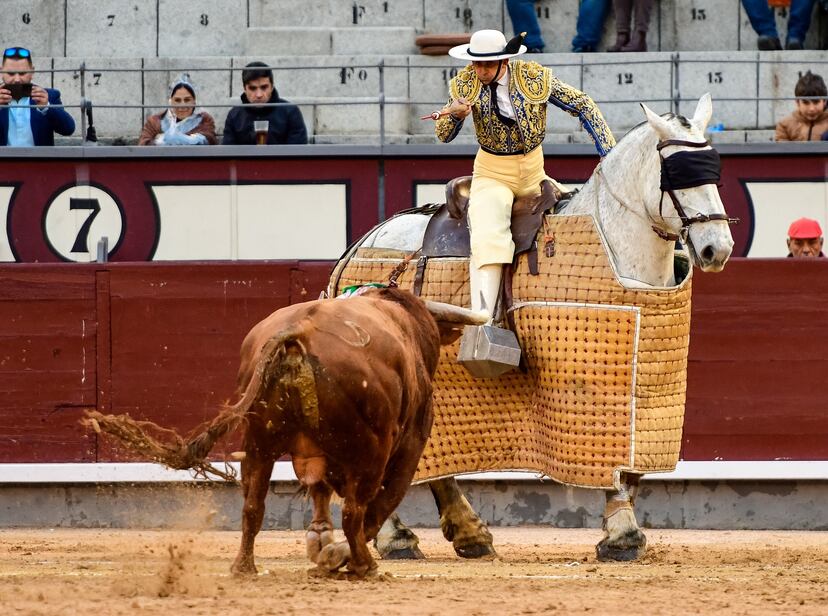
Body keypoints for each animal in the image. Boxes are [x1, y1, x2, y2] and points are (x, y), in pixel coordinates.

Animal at [331, 93, 735, 562]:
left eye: (713, 171)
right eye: (677, 174)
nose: (717, 248)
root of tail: (361, 244)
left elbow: (631, 469)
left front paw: (622, 533)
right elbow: (614, 467)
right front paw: (622, 536)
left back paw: (468, 534)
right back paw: (396, 537)